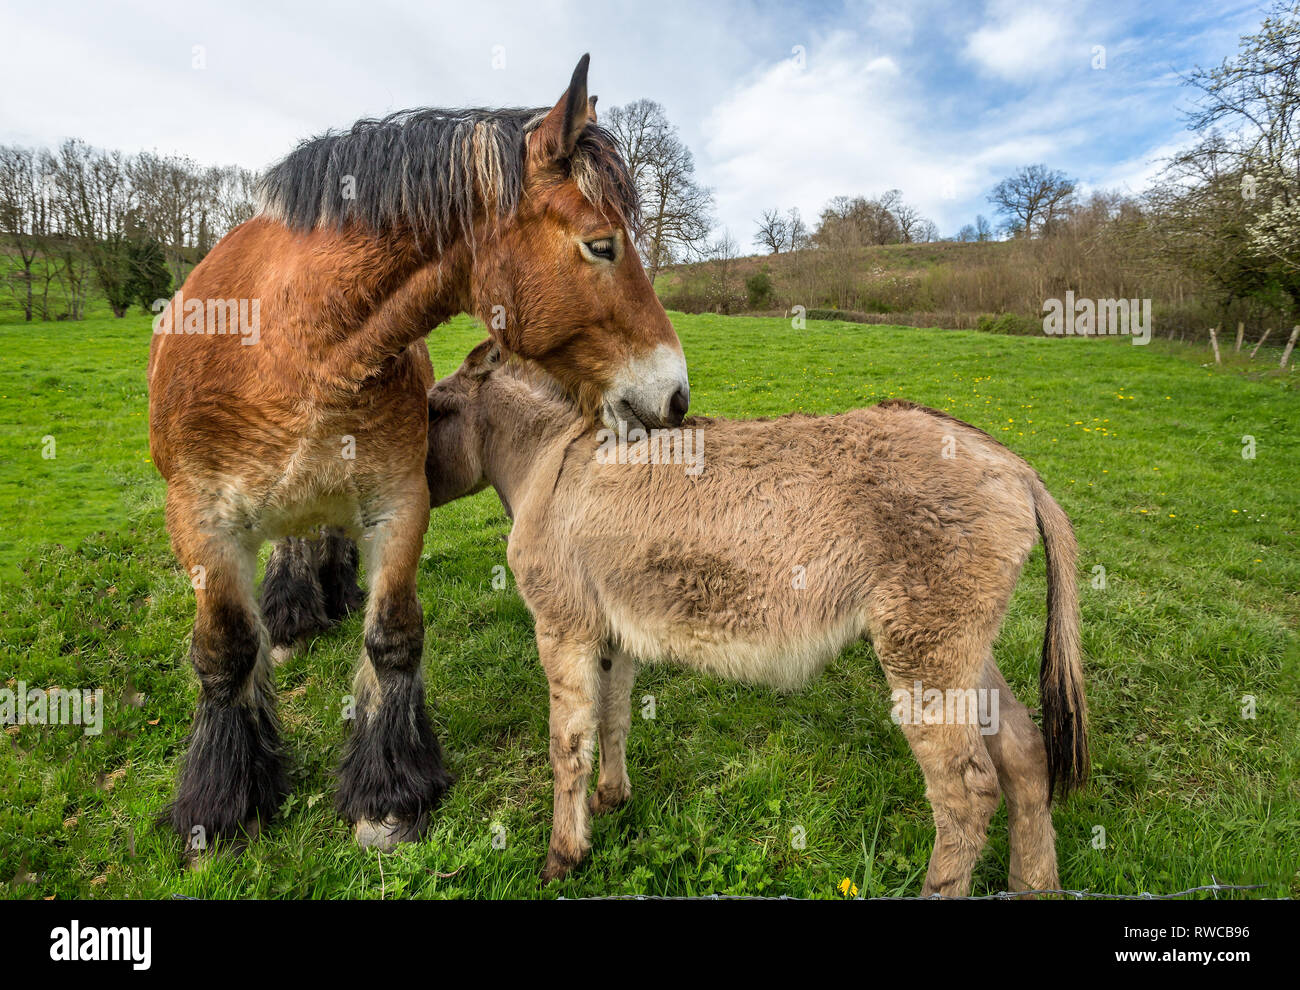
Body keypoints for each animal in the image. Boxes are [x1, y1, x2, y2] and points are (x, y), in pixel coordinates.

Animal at [146, 54, 689, 852]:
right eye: (601, 243)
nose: (676, 395)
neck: (289, 345)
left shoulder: (399, 504)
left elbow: (393, 638)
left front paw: (389, 794)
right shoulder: (201, 523)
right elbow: (224, 653)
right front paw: (220, 805)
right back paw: (291, 618)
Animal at [424, 342, 1089, 893]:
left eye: (432, 410)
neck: (551, 459)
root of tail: (1011, 462)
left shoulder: (562, 628)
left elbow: (567, 744)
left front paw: (563, 856)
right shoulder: (612, 635)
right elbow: (613, 720)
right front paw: (610, 801)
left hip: (923, 649)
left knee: (967, 791)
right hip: (963, 646)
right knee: (1024, 752)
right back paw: (1036, 886)